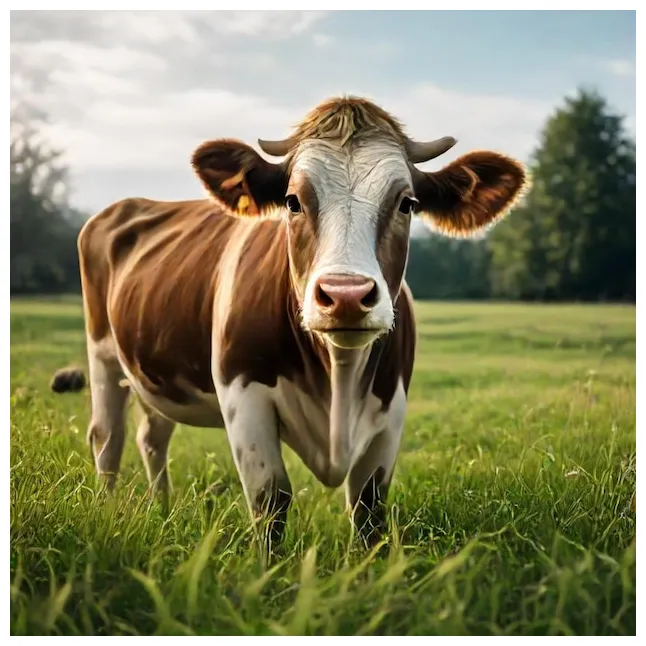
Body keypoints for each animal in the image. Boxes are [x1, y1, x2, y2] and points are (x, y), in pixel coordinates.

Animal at [52, 96, 526, 549]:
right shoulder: (243, 395)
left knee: (152, 435)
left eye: (406, 204)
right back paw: (109, 510)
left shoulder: (392, 408)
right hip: (102, 354)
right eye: (292, 201)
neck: (337, 382)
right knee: (107, 438)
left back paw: (162, 507)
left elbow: (368, 510)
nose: (345, 295)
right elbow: (271, 500)